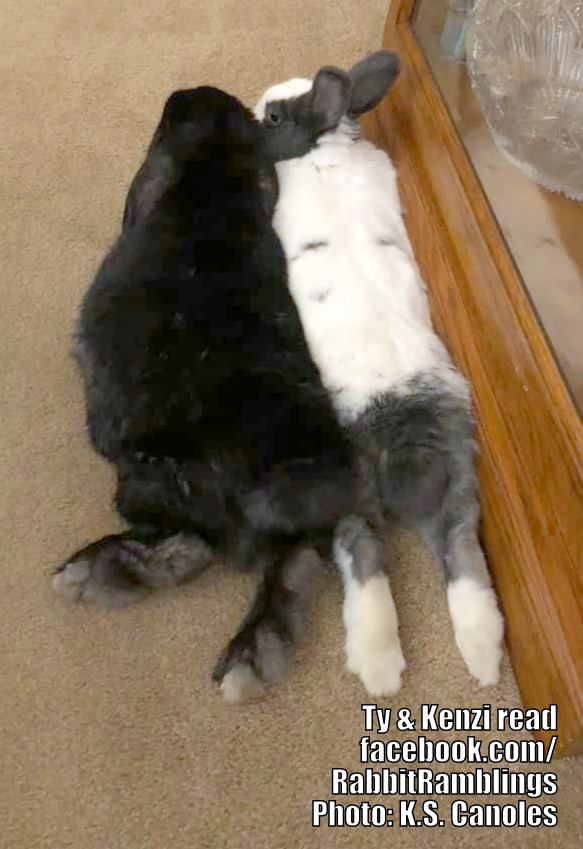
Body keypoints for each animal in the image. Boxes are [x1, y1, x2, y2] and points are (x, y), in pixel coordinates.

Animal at [53, 86, 386, 702]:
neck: (211, 187)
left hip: (145, 479)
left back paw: (91, 573)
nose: (190, 93)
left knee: (182, 547)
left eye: (172, 118)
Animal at [254, 51, 505, 689]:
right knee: (462, 554)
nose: (251, 107)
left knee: (365, 561)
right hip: (458, 477)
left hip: (348, 485)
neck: (322, 147)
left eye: (273, 117)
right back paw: (483, 657)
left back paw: (380, 667)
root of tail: (398, 430)